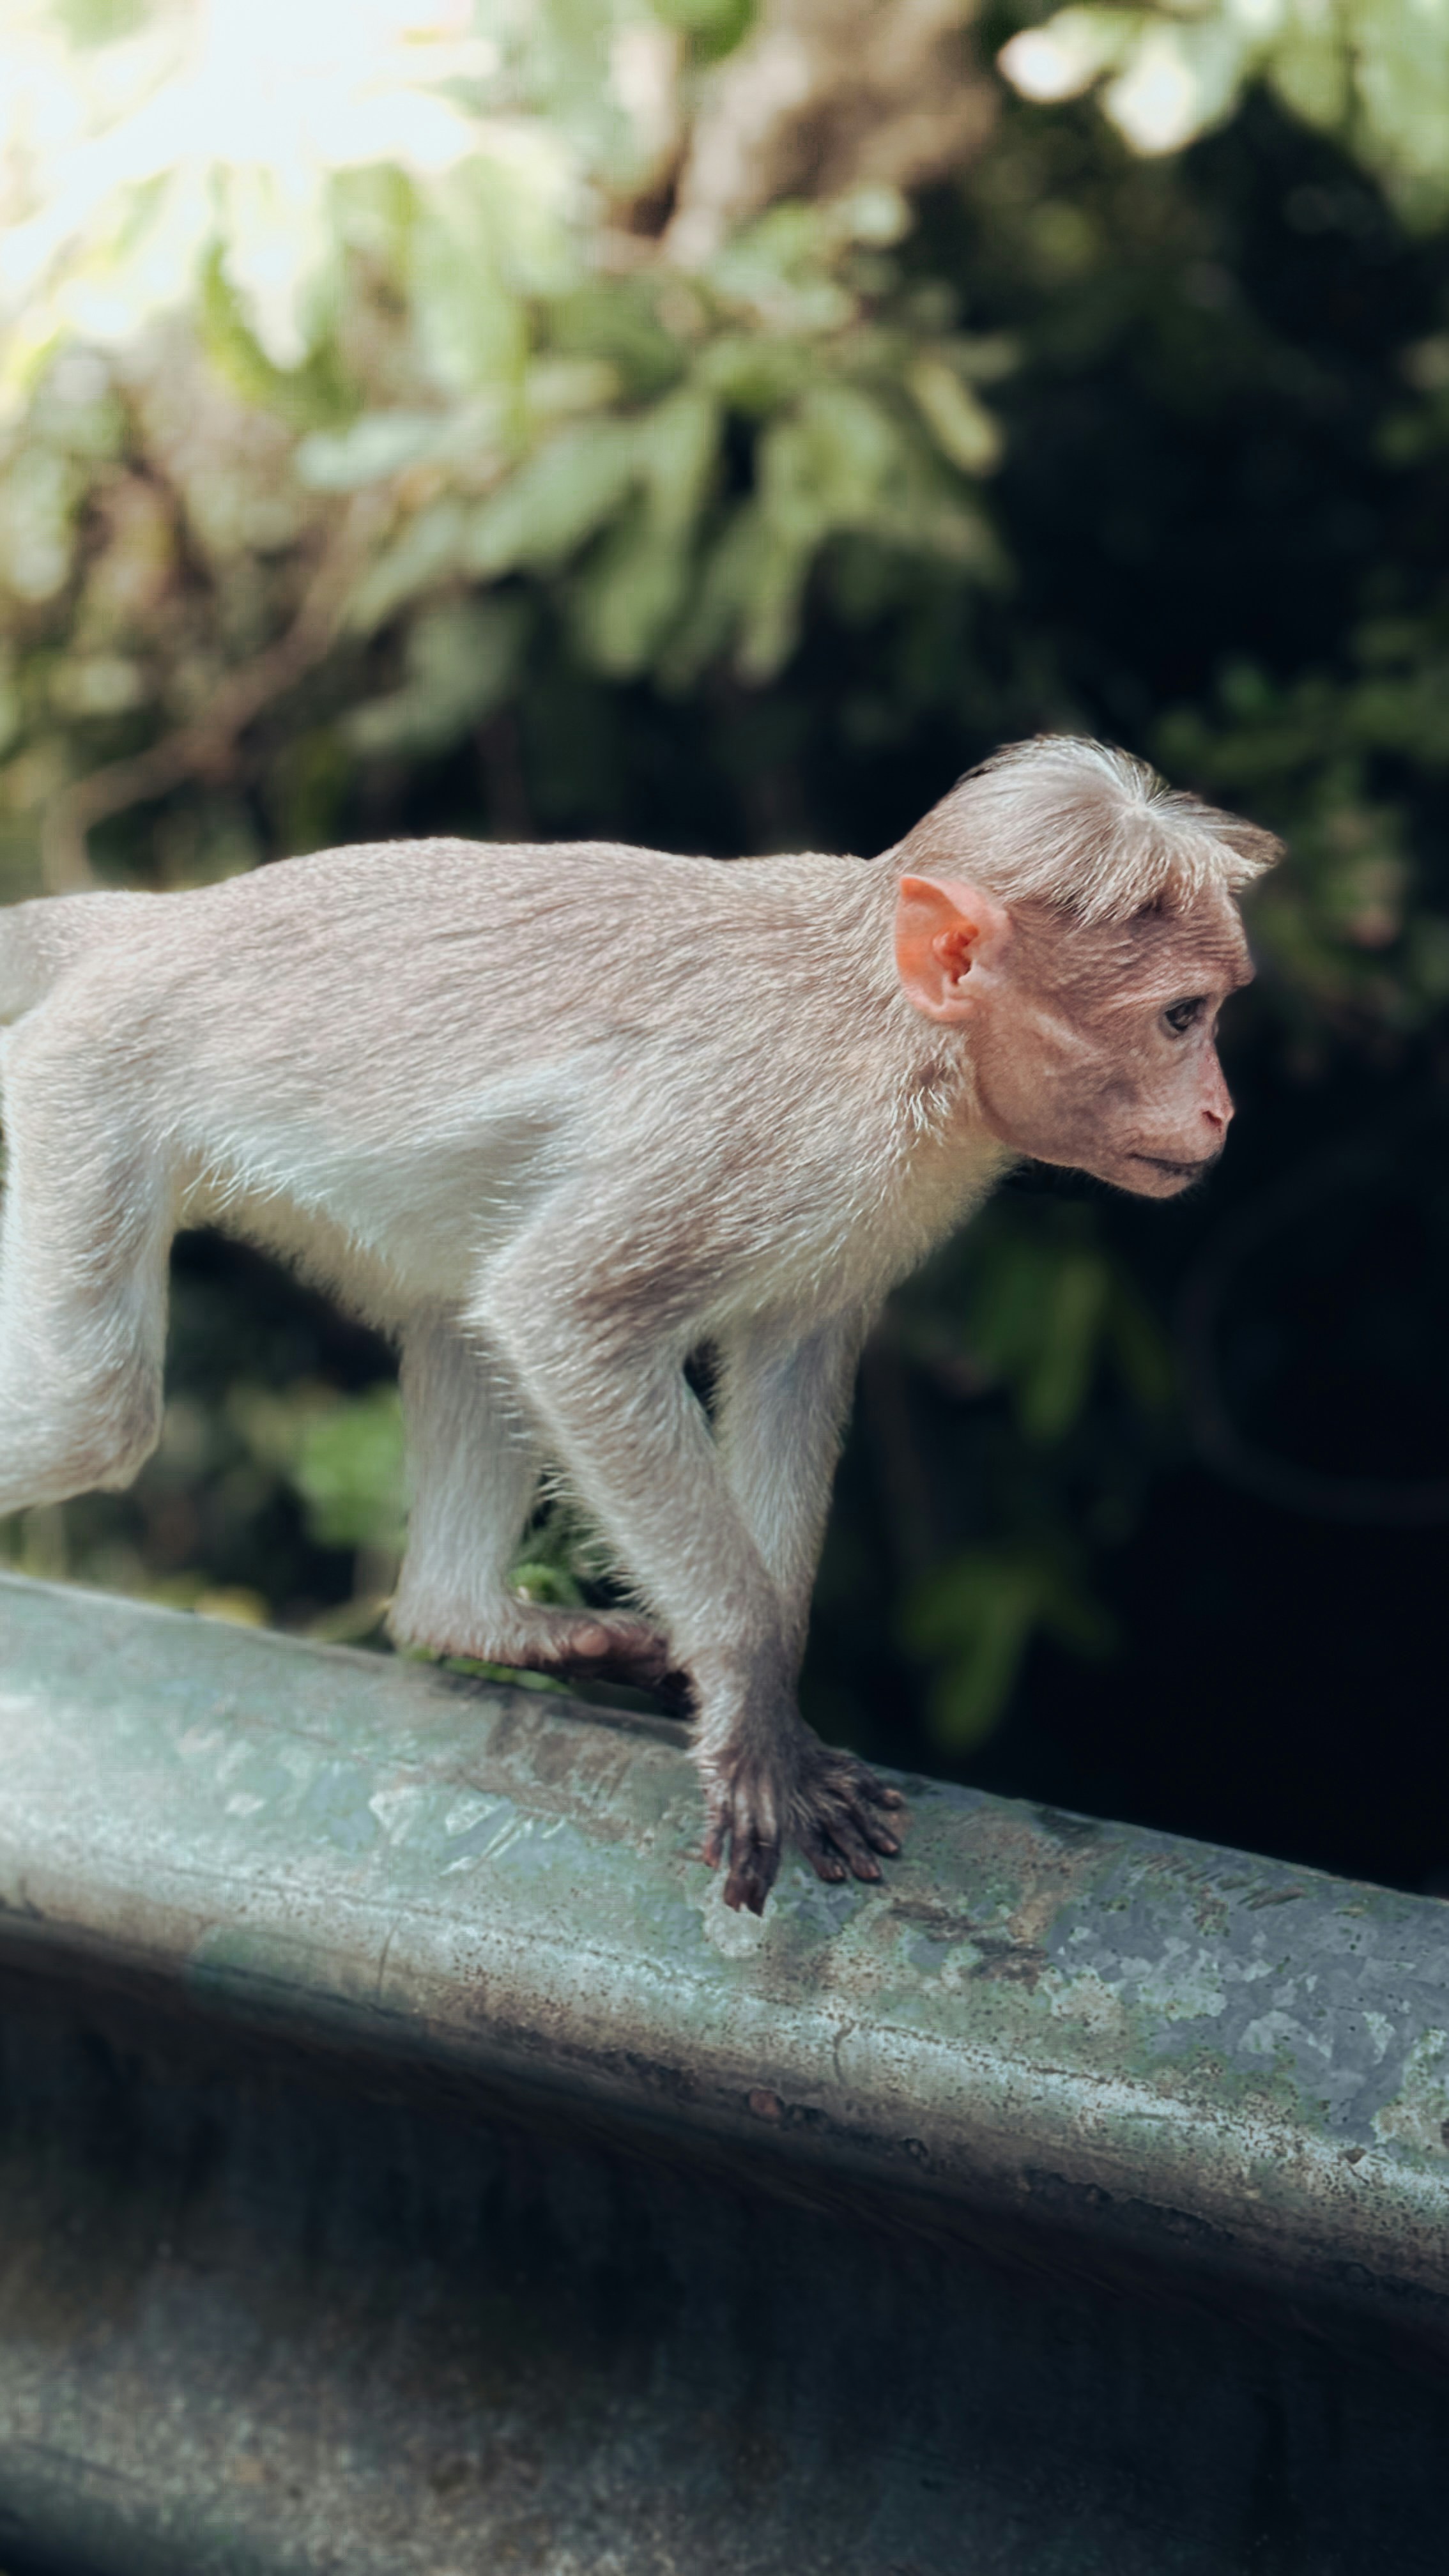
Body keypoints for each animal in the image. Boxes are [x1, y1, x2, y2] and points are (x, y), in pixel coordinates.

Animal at [0, 736, 1279, 1912]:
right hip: (82, 1077)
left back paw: (467, 1621)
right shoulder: (775, 1133)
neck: (904, 1035)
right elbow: (564, 1311)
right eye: (1180, 1018)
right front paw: (755, 1705)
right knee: (92, 1416)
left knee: (460, 1299)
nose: (1220, 1109)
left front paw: (760, 1691)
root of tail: (156, 924)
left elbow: (786, 1354)